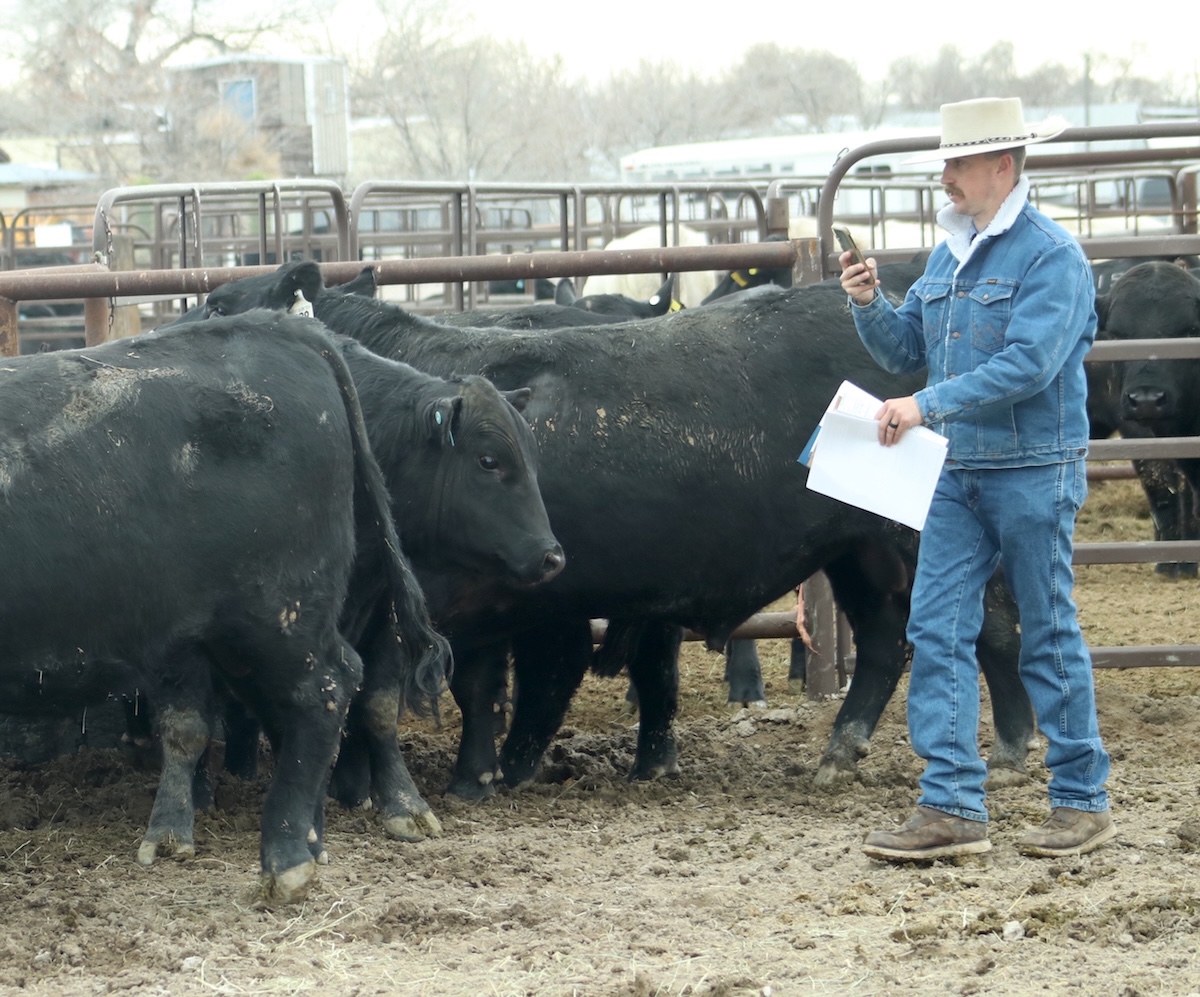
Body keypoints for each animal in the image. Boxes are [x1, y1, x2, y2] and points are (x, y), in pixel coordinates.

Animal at [187, 260, 1035, 804]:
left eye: (217, 305)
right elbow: (485, 685)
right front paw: (476, 772)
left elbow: (420, 687)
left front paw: (416, 781)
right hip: (859, 548)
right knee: (888, 640)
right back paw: (841, 747)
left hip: (908, 534)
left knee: (989, 624)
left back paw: (1015, 744)